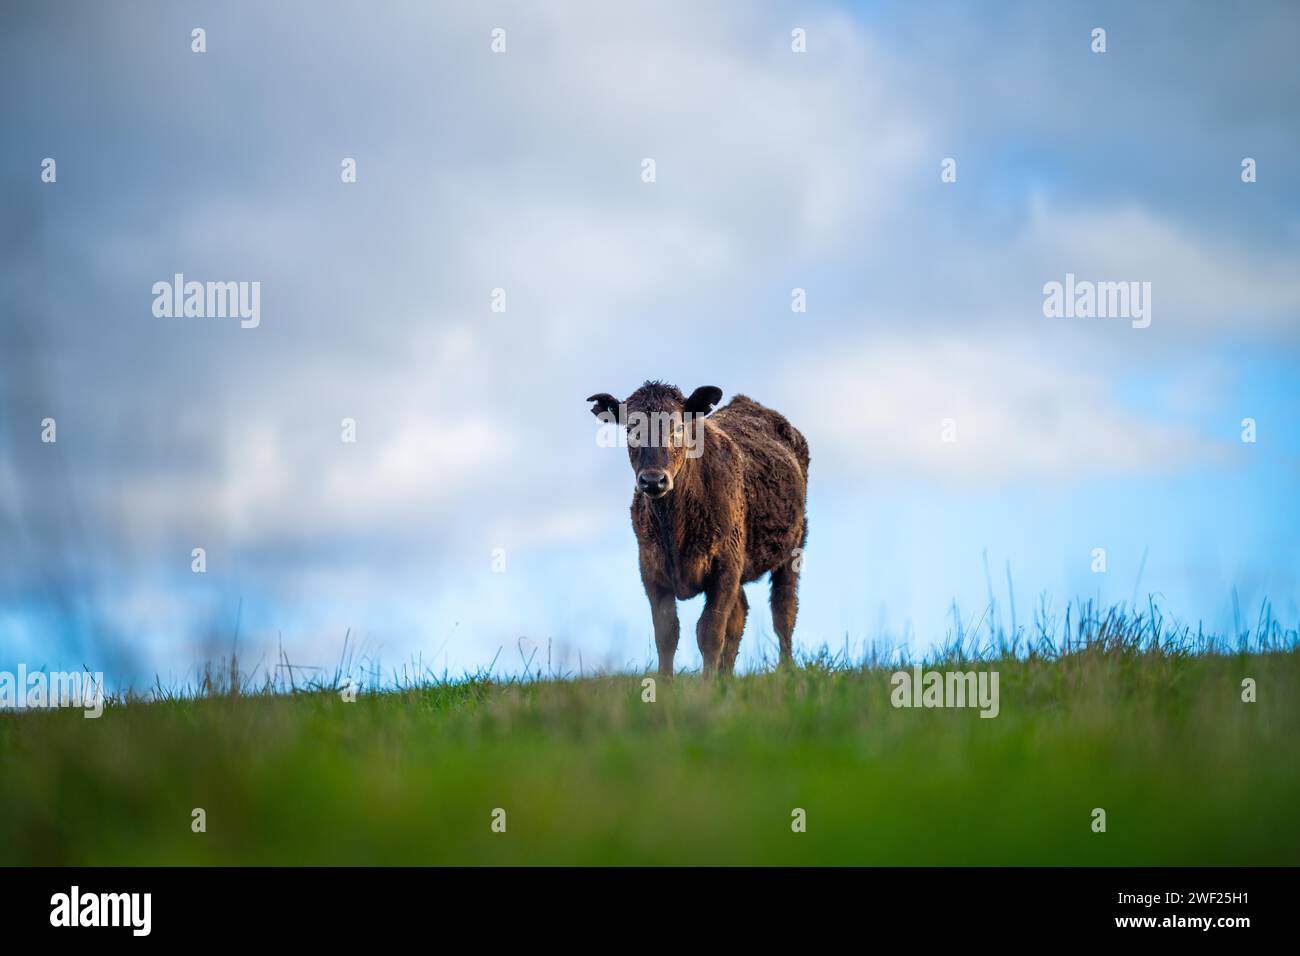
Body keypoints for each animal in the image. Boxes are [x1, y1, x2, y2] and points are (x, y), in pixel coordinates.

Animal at [587, 381, 809, 677]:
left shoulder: (725, 567)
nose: (653, 480)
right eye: (630, 429)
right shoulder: (651, 571)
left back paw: (785, 671)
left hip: (793, 549)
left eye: (679, 427)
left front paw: (707, 685)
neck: (674, 528)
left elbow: (710, 632)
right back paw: (726, 678)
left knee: (783, 612)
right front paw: (668, 684)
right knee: (740, 615)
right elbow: (667, 634)